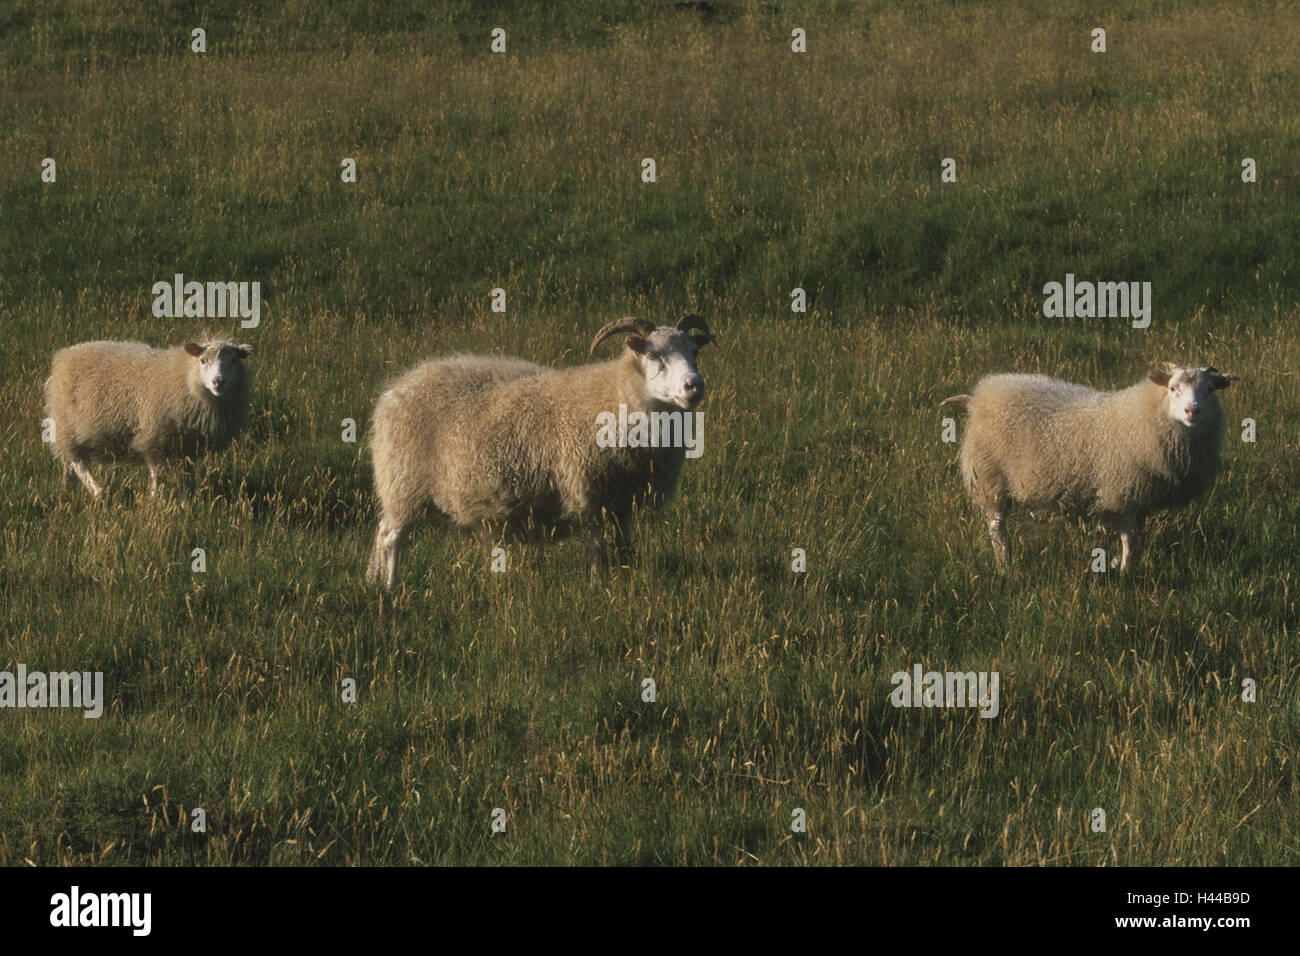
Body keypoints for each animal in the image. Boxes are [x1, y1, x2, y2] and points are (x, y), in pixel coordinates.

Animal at [44, 338, 254, 500]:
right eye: (203, 361)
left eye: (234, 361)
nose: (218, 382)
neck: (186, 378)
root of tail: (65, 355)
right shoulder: (154, 437)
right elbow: (157, 475)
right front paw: (153, 502)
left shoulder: (188, 444)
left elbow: (189, 474)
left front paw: (187, 501)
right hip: (67, 427)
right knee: (79, 464)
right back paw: (98, 493)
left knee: (69, 462)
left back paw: (66, 488)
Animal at [366, 315, 716, 587]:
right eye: (655, 356)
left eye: (695, 352)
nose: (694, 385)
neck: (618, 395)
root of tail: (395, 390)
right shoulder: (588, 491)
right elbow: (596, 548)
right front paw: (597, 587)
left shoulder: (621, 499)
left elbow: (623, 546)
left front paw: (624, 578)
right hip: (404, 482)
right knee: (391, 537)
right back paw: (391, 586)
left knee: (381, 531)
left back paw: (374, 579)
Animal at [942, 363, 1236, 572]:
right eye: (1173, 388)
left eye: (1210, 390)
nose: (1192, 411)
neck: (1145, 416)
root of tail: (979, 397)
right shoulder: (1121, 490)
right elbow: (1131, 538)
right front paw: (1125, 571)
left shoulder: (1139, 495)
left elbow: (1137, 534)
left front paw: (1117, 562)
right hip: (990, 476)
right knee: (996, 527)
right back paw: (1005, 565)